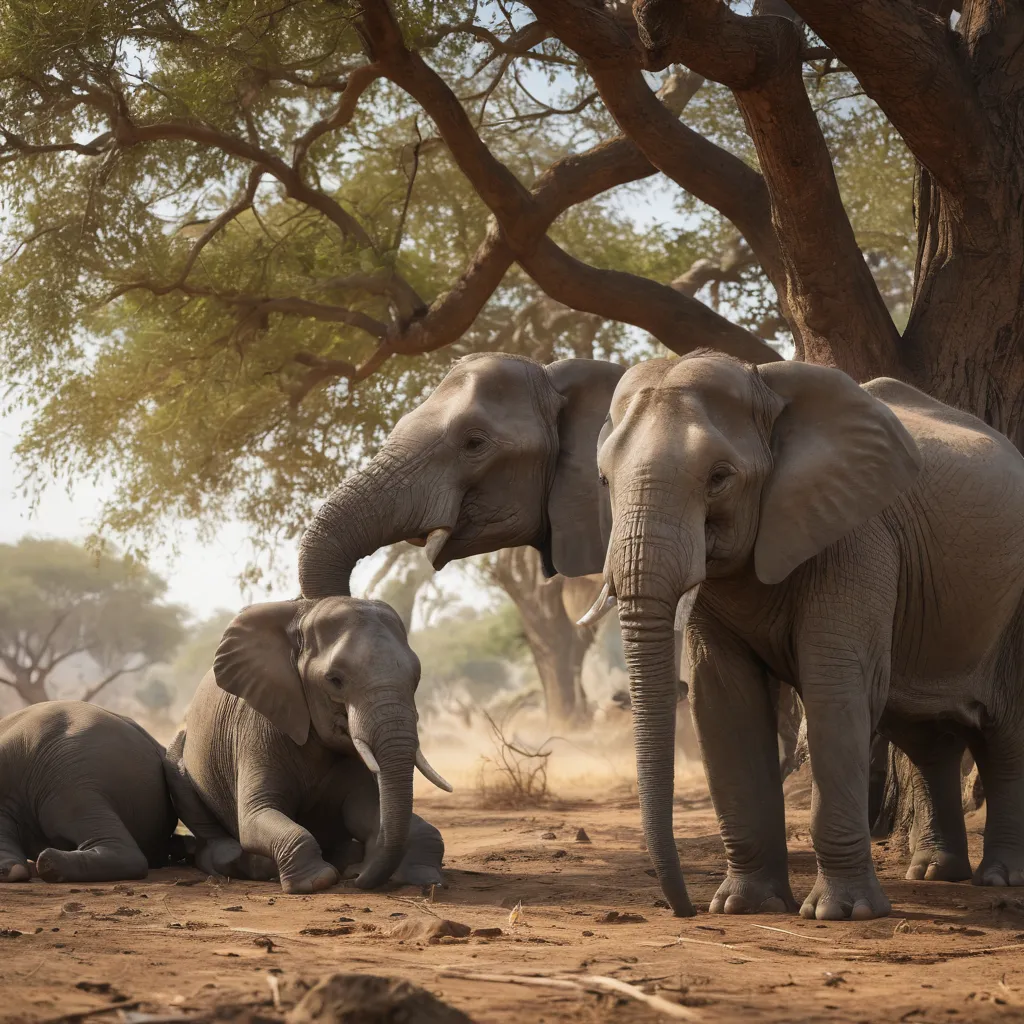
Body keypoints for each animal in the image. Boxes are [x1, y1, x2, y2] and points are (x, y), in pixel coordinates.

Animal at [164, 596, 451, 894]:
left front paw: (421, 877)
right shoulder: (257, 731)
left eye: (416, 679)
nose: (358, 878)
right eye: (335, 680)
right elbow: (254, 817)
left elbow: (364, 812)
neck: (300, 619)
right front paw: (317, 880)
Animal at [586, 350, 1024, 920]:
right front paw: (742, 906)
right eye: (602, 480)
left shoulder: (856, 536)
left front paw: (842, 914)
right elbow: (722, 699)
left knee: (1005, 734)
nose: (683, 909)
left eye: (719, 477)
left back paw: (1001, 878)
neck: (767, 388)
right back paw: (934, 873)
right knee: (927, 737)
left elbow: (832, 688)